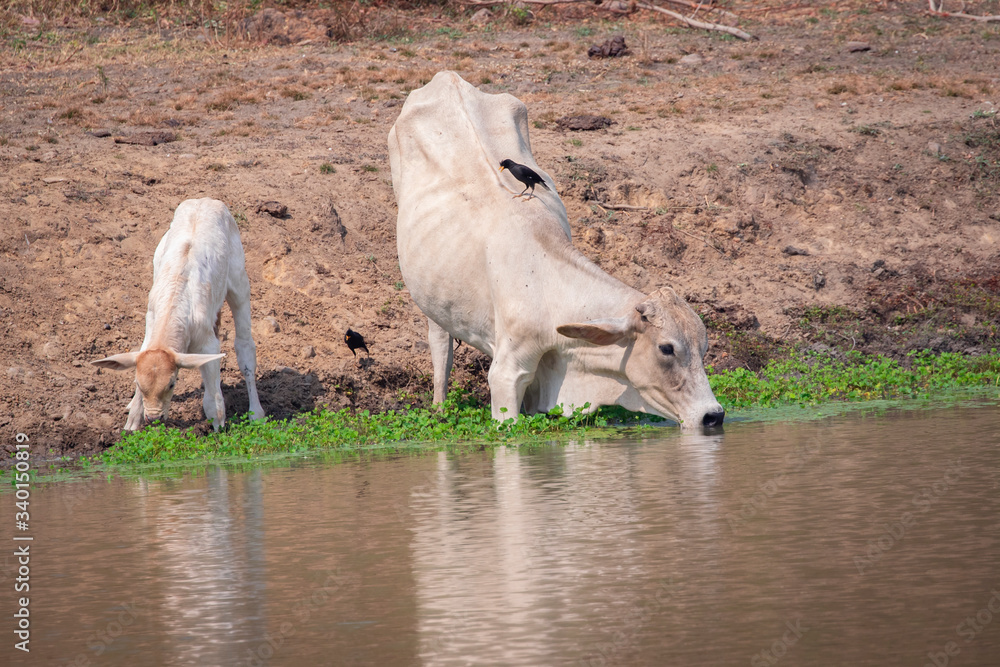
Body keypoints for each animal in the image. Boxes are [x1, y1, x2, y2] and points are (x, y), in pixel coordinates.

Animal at [92, 198, 265, 431]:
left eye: (172, 384)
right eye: (138, 383)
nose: (153, 418)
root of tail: (206, 200)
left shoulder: (209, 344)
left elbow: (214, 401)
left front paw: (218, 429)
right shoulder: (150, 325)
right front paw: (132, 421)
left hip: (240, 283)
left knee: (245, 347)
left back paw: (257, 413)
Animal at [388, 71, 724, 429]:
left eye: (704, 348)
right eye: (666, 349)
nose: (713, 415)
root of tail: (446, 77)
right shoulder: (507, 374)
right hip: (431, 300)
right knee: (441, 345)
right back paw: (439, 407)